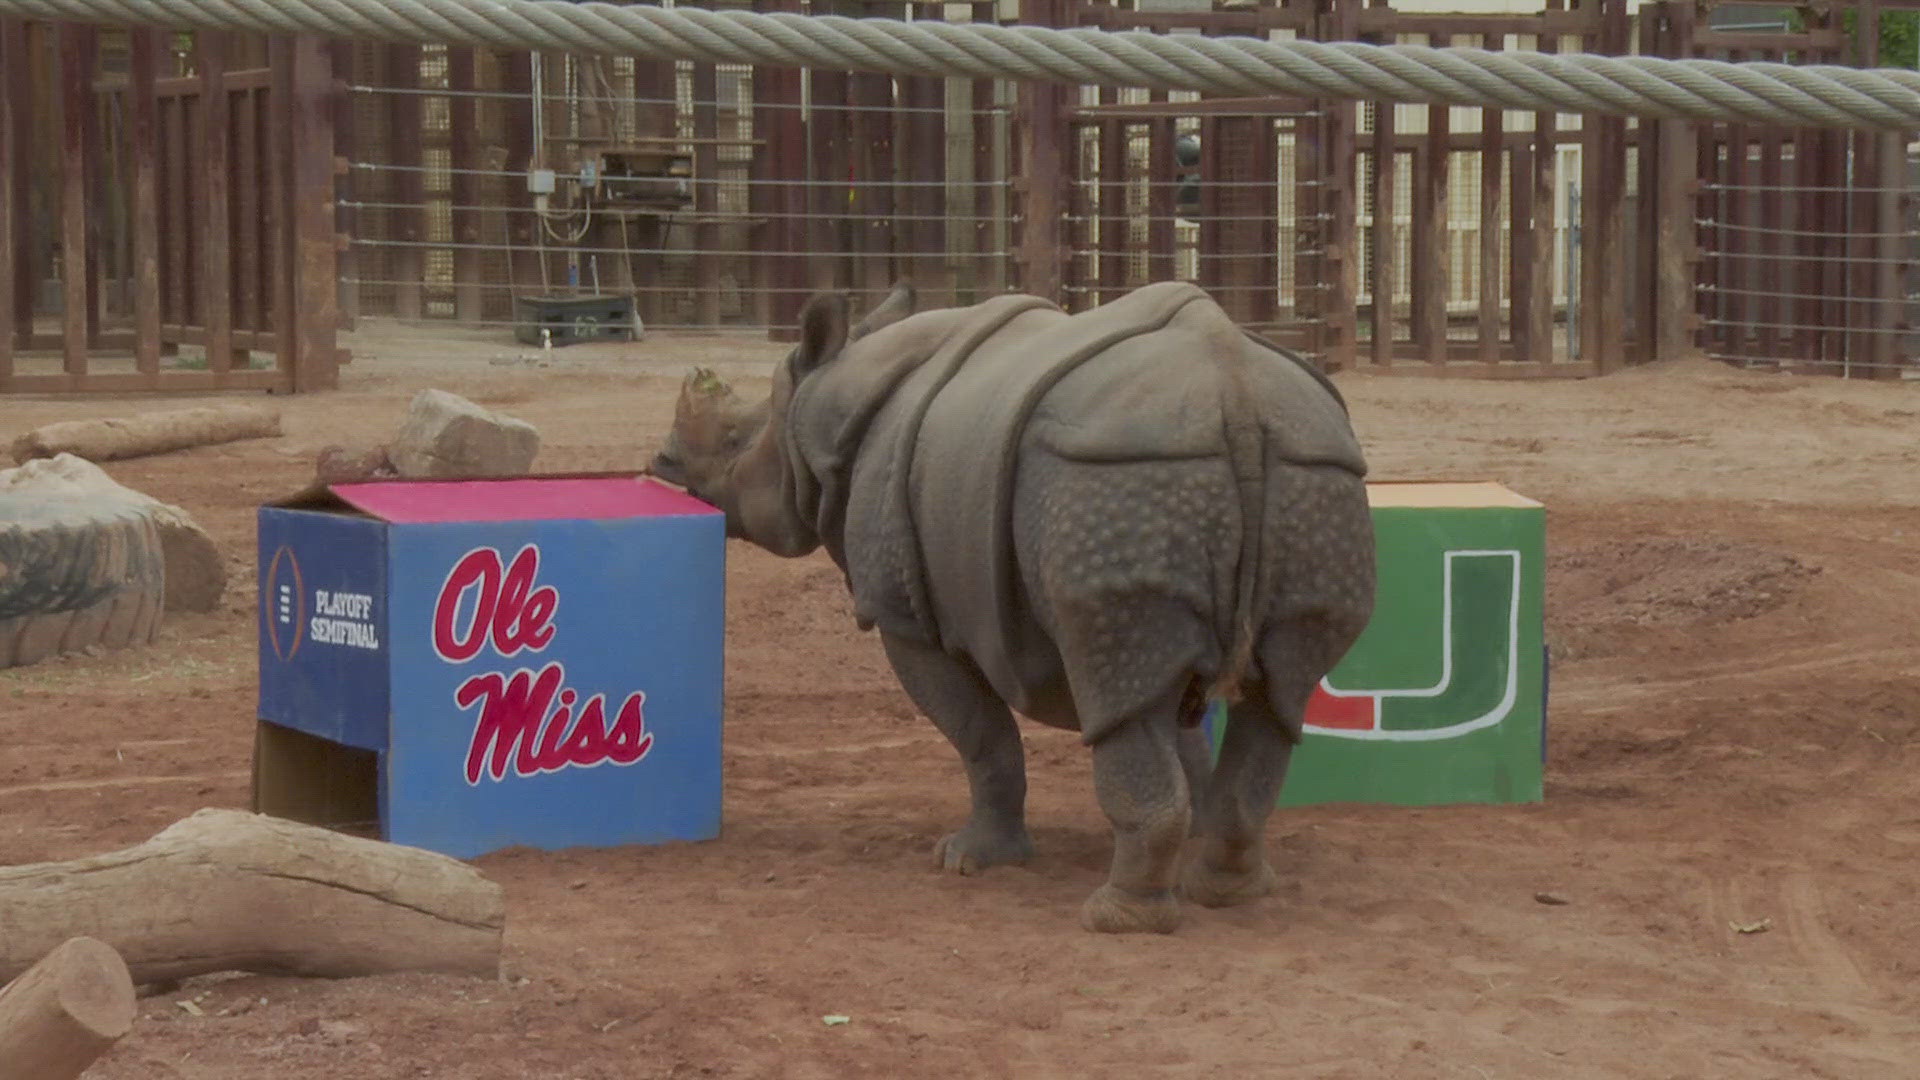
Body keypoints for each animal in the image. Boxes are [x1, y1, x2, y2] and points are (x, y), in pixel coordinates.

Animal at [652, 280, 1375, 933]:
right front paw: (1191, 830)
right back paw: (1227, 891)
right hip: (1309, 476)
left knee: (1120, 662)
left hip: (1114, 478)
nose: (661, 463)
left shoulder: (906, 616)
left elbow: (982, 735)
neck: (825, 406)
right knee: (1272, 697)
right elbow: (1173, 728)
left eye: (734, 439)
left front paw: (967, 861)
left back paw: (1116, 919)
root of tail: (1237, 397)